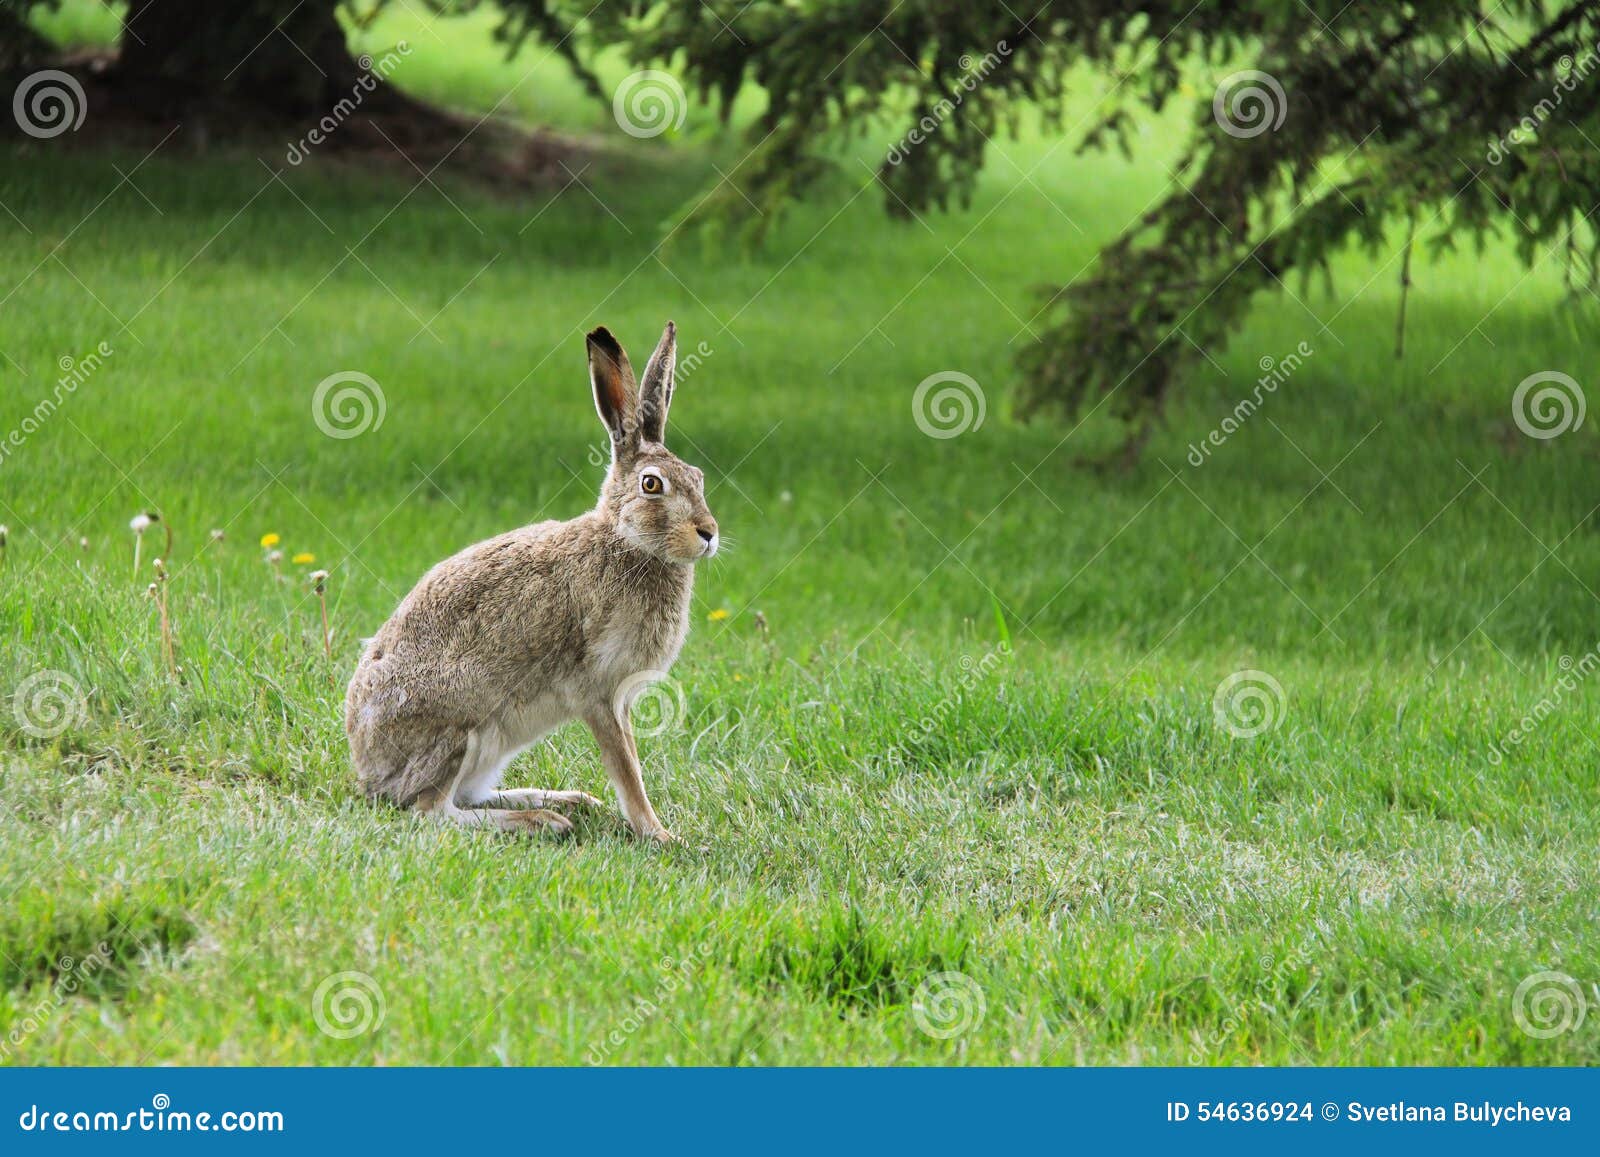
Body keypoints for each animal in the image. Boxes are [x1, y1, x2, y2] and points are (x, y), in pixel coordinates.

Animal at [344, 321, 718, 843]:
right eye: (651, 485)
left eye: (698, 478)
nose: (708, 533)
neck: (625, 540)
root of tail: (366, 765)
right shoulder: (600, 692)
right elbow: (628, 770)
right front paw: (662, 835)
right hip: (461, 724)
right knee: (433, 810)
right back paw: (543, 819)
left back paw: (567, 800)